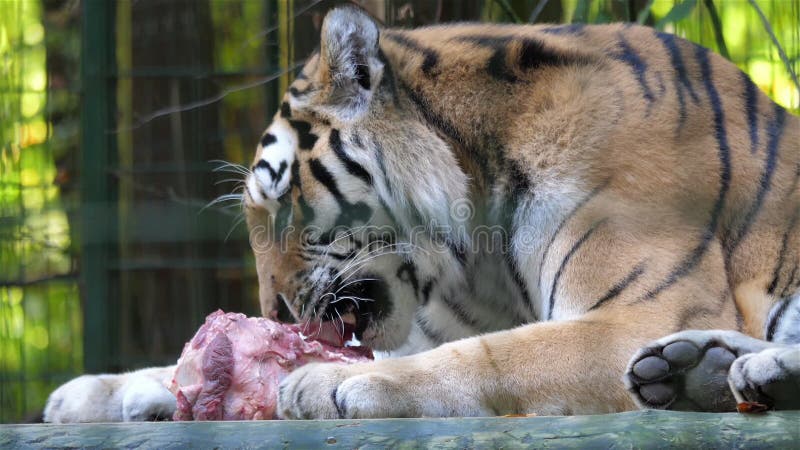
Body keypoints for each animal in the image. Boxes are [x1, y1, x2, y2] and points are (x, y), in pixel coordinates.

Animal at [44, 6, 799, 423]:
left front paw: (329, 381)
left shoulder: (640, 311)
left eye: (284, 206)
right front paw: (85, 395)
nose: (274, 314)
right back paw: (702, 369)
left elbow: (495, 355)